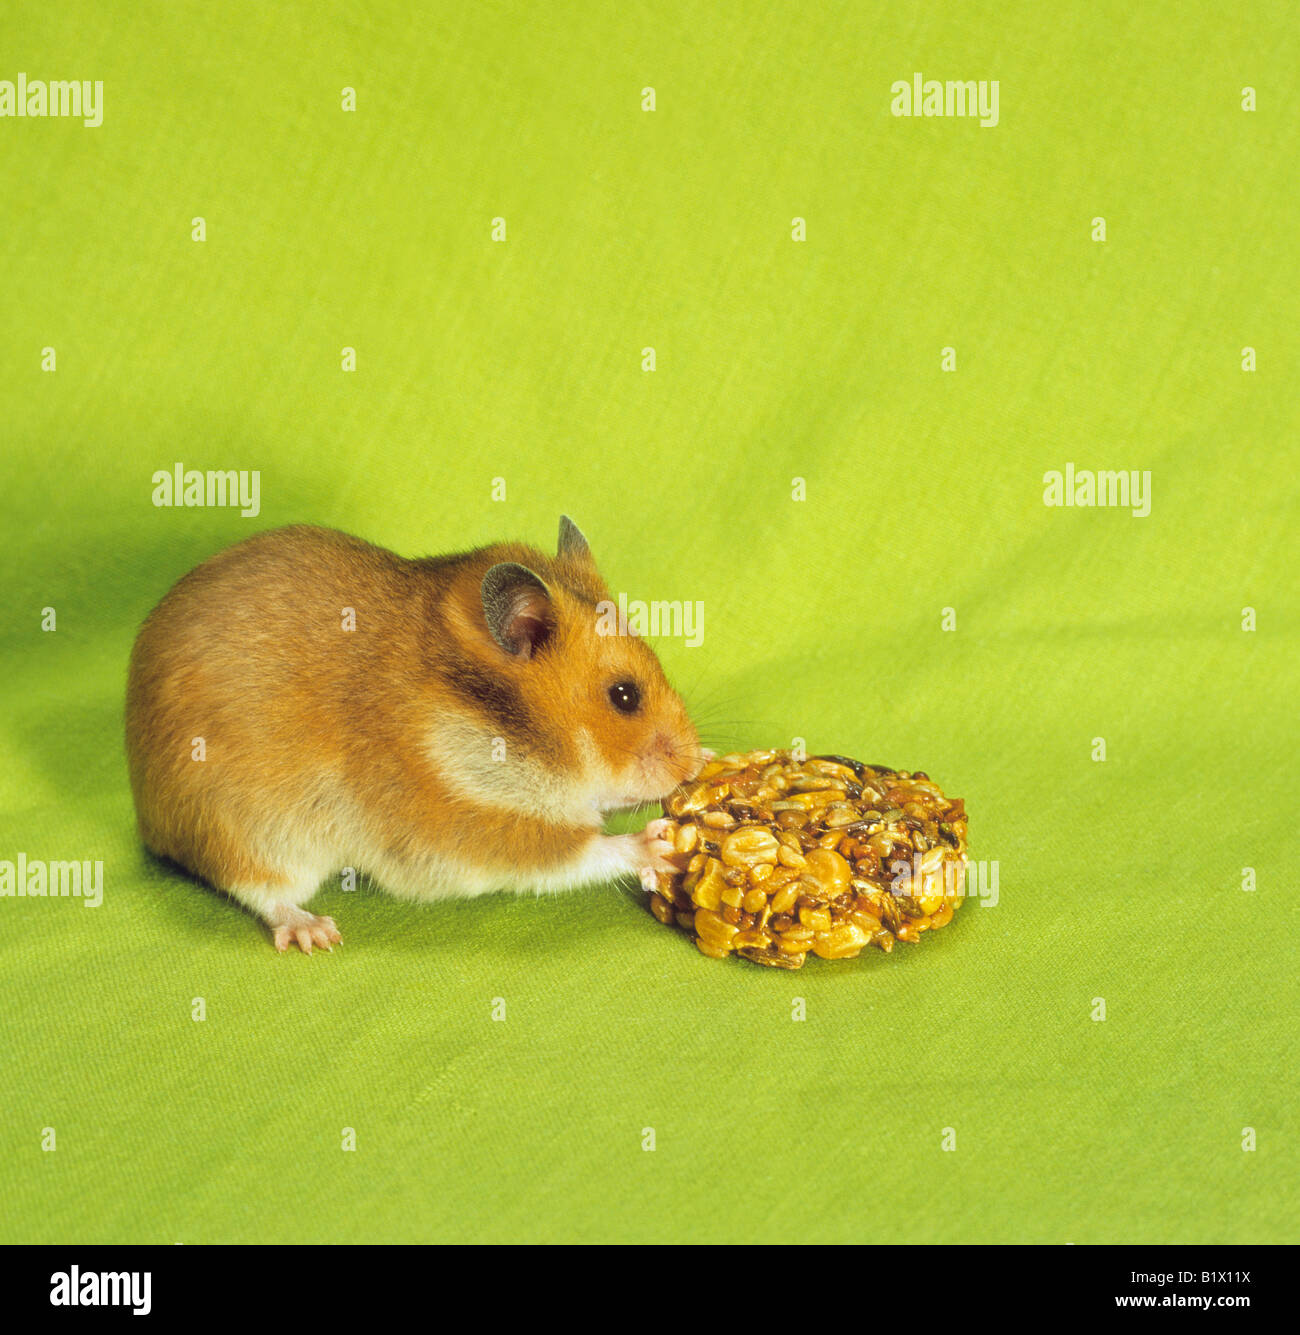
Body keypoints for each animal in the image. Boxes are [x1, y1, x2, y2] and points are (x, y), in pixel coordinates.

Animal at [124, 517, 703, 953]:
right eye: (624, 696)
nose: (691, 762)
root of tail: (149, 817)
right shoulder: (463, 827)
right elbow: (576, 851)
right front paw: (657, 845)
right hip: (252, 835)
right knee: (258, 891)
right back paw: (317, 934)